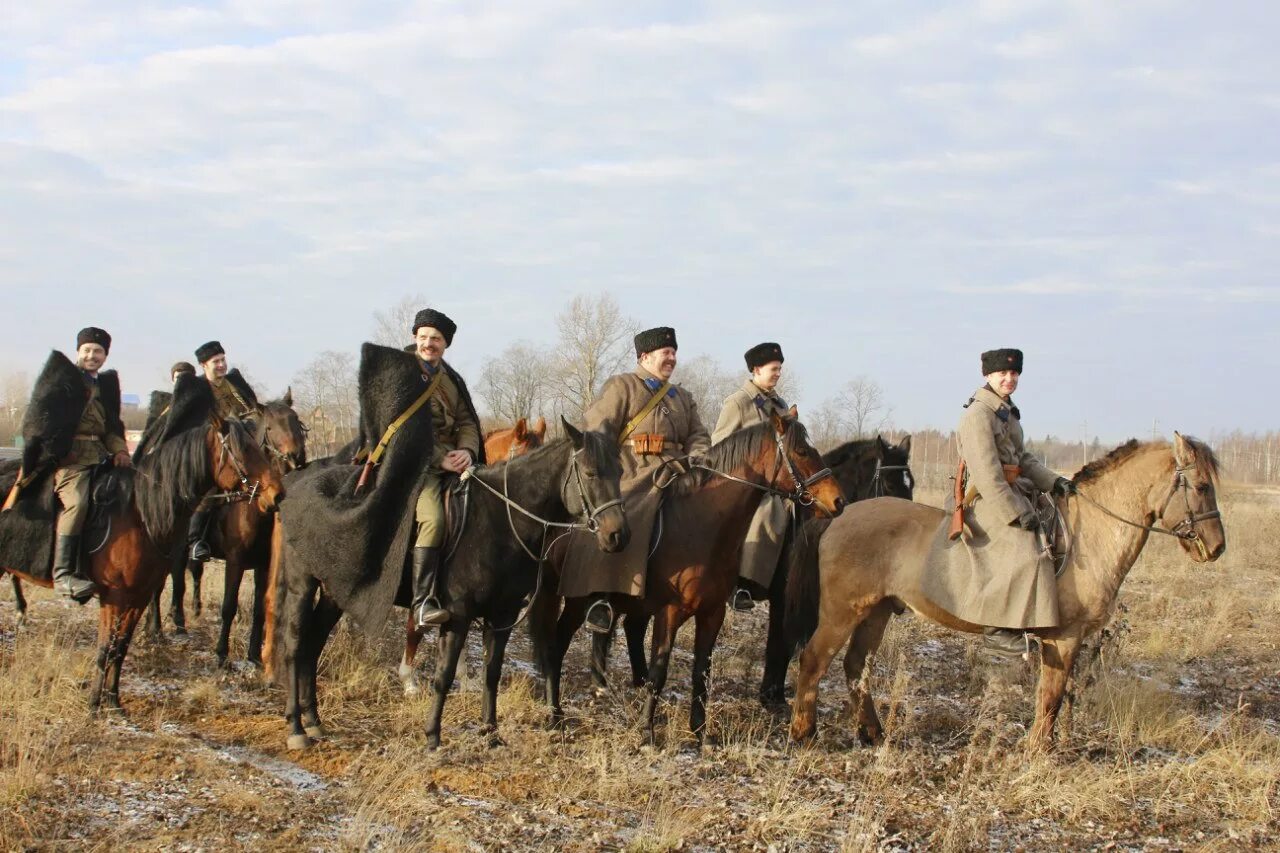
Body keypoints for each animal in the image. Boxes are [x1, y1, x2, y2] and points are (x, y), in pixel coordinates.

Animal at [0, 412, 281, 712]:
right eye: (247, 449)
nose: (277, 493)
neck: (140, 512)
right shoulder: (114, 597)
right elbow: (105, 648)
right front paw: (94, 705)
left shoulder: (139, 595)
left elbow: (121, 647)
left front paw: (113, 701)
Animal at [545, 412, 844, 742]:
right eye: (802, 451)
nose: (838, 501)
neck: (702, 526)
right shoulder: (670, 612)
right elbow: (660, 669)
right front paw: (647, 730)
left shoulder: (712, 613)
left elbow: (702, 671)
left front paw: (699, 731)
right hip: (576, 602)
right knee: (558, 645)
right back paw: (556, 713)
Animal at [586, 432, 916, 701]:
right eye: (889, 483)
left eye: (910, 487)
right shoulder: (783, 598)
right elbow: (779, 643)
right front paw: (772, 695)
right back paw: (601, 681)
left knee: (632, 625)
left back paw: (639, 680)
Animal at [788, 432, 1228, 753]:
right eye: (1201, 486)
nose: (1217, 546)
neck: (1087, 535)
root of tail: (838, 516)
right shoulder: (1064, 638)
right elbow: (1051, 696)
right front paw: (1038, 752)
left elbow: (1053, 695)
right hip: (842, 612)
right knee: (813, 661)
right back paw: (804, 733)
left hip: (876, 612)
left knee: (855, 667)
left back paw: (874, 734)